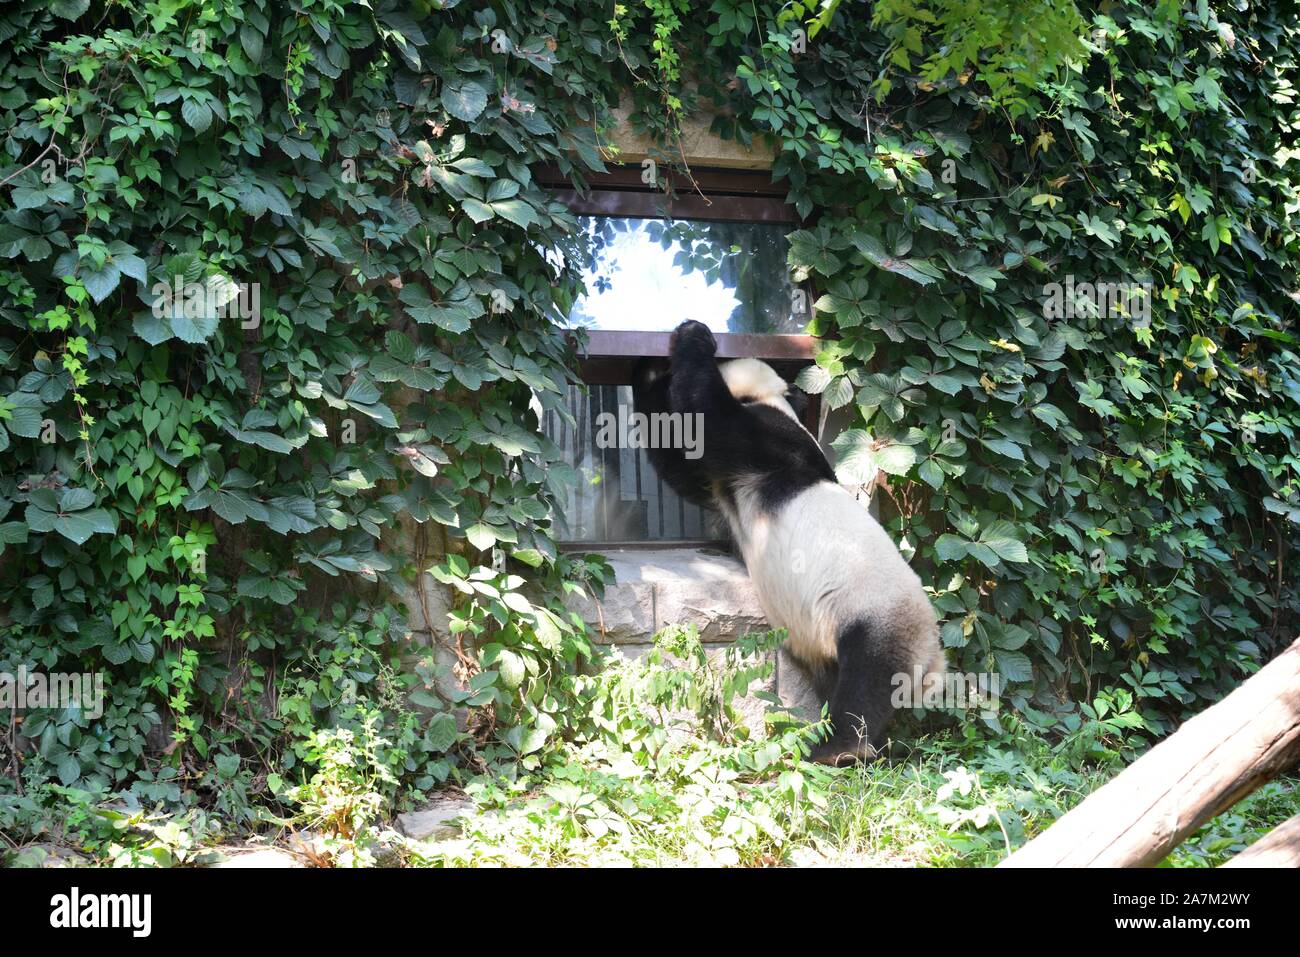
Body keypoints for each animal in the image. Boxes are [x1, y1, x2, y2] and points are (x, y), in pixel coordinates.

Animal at [633, 319, 945, 765]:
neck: (771, 399)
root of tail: (933, 663)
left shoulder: (770, 443)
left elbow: (710, 420)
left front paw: (693, 337)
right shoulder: (722, 482)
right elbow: (680, 465)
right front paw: (646, 371)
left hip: (878, 616)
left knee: (867, 681)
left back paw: (838, 749)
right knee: (838, 682)